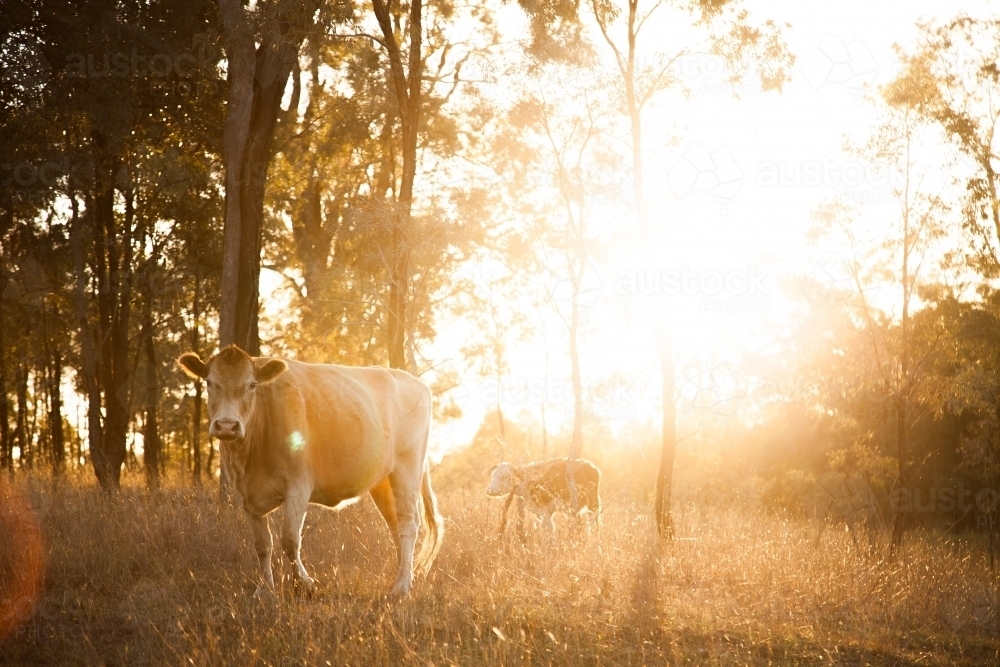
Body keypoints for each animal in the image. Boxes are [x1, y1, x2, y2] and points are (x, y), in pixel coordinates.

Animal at [177, 345, 443, 597]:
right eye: (209, 382)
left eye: (252, 385)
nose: (227, 426)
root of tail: (414, 380)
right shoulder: (246, 496)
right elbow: (262, 544)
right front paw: (264, 590)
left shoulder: (298, 486)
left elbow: (289, 539)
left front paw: (304, 584)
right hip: (382, 481)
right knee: (395, 526)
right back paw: (406, 576)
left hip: (407, 468)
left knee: (408, 524)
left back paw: (402, 587)